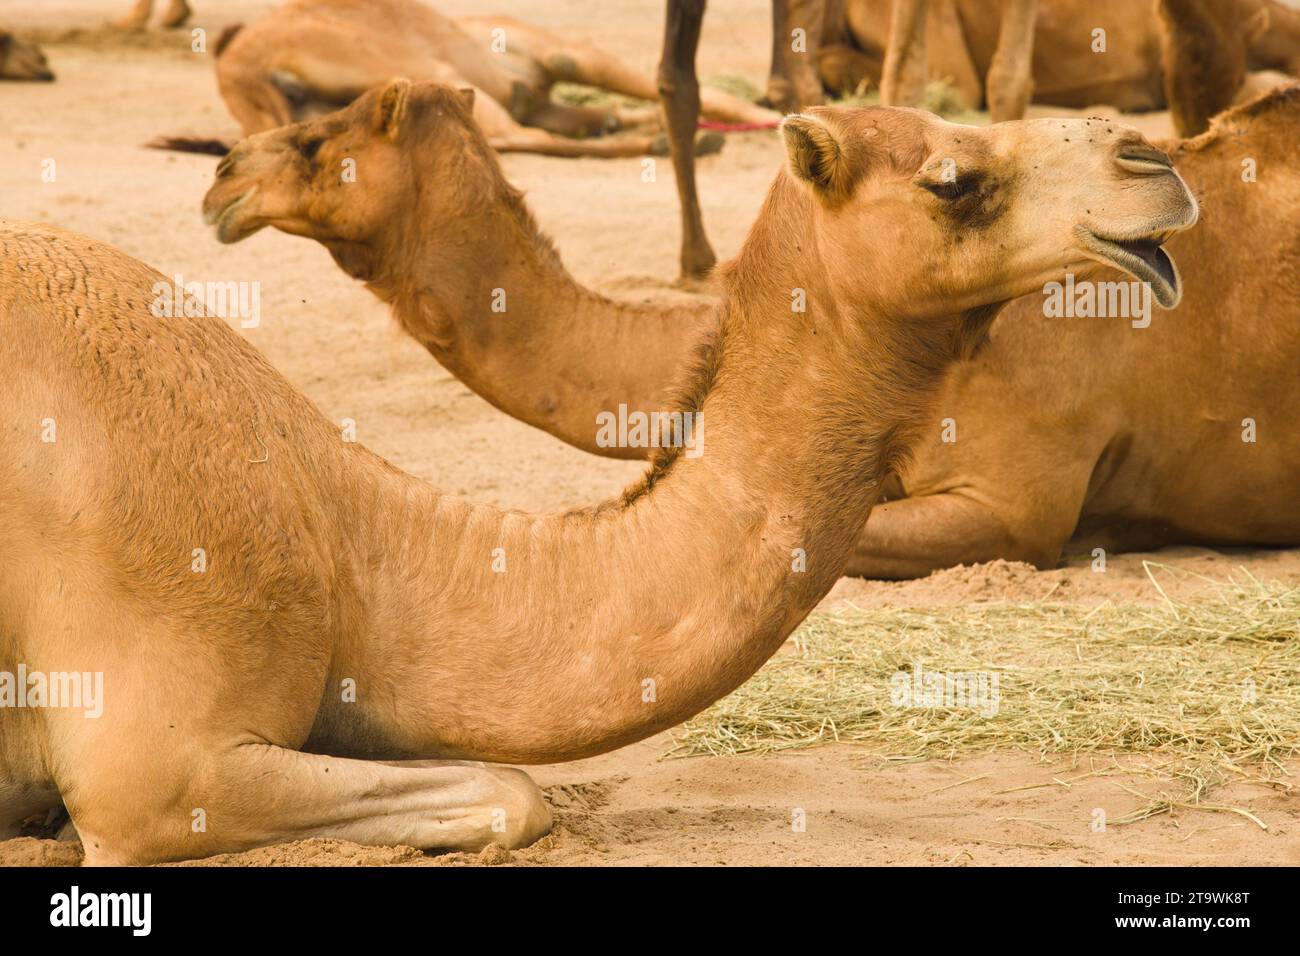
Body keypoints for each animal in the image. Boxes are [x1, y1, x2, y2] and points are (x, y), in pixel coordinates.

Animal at [1, 83, 1195, 863]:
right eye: (953, 180)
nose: (1156, 164)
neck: (351, 544)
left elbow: (508, 790)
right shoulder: (157, 767)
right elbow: (509, 793)